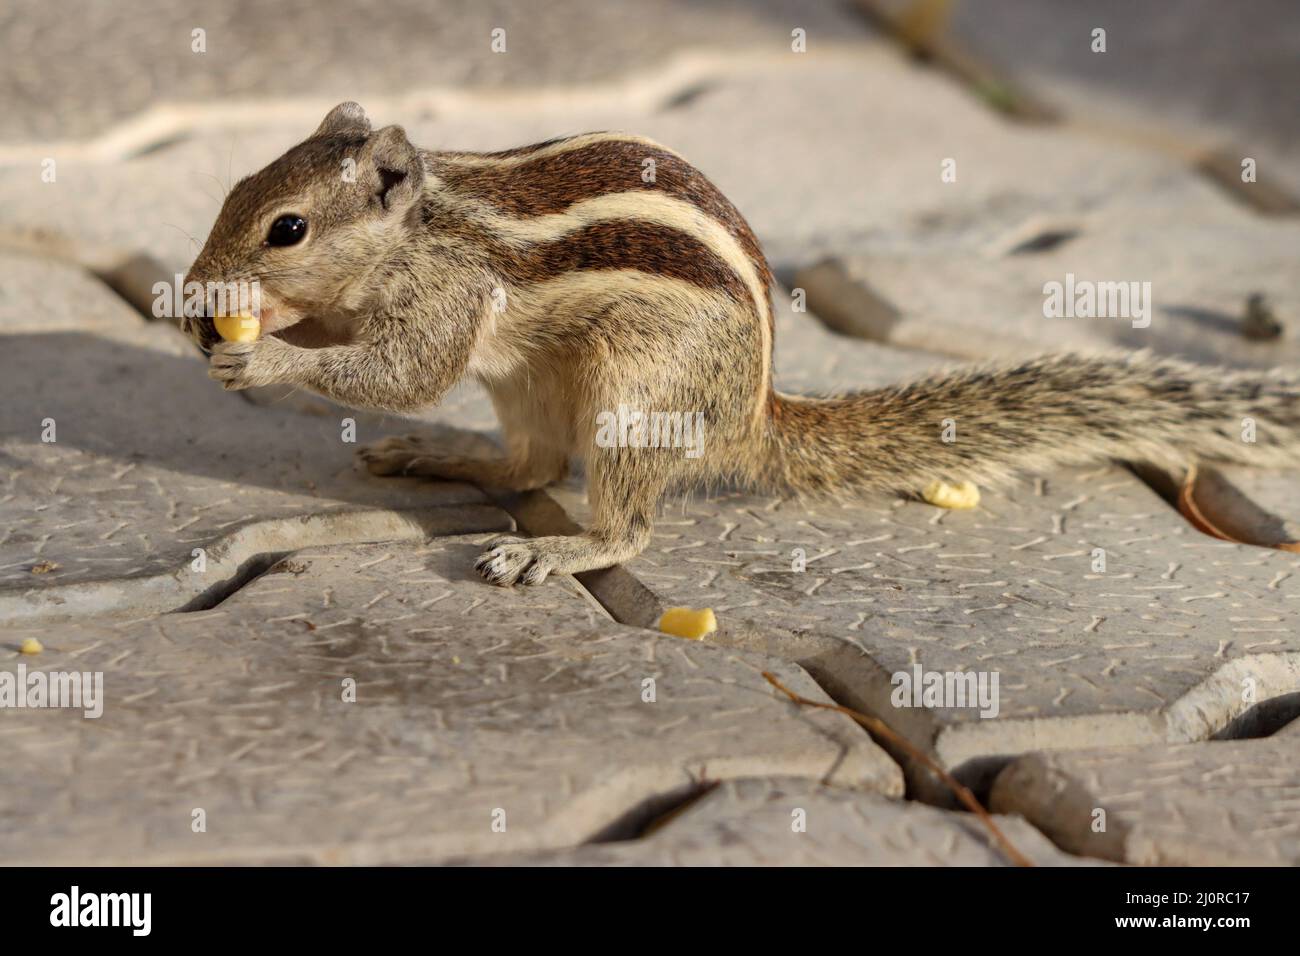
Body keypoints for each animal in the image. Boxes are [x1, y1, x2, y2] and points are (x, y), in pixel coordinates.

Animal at [183, 102, 1300, 586]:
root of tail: (748, 416)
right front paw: (244, 324)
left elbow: (402, 369)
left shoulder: (445, 297)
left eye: (286, 227)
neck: (421, 227)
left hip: (635, 394)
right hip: (537, 383)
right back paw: (444, 456)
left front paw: (265, 354)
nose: (196, 287)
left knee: (622, 522)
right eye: (234, 187)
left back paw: (553, 548)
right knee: (532, 461)